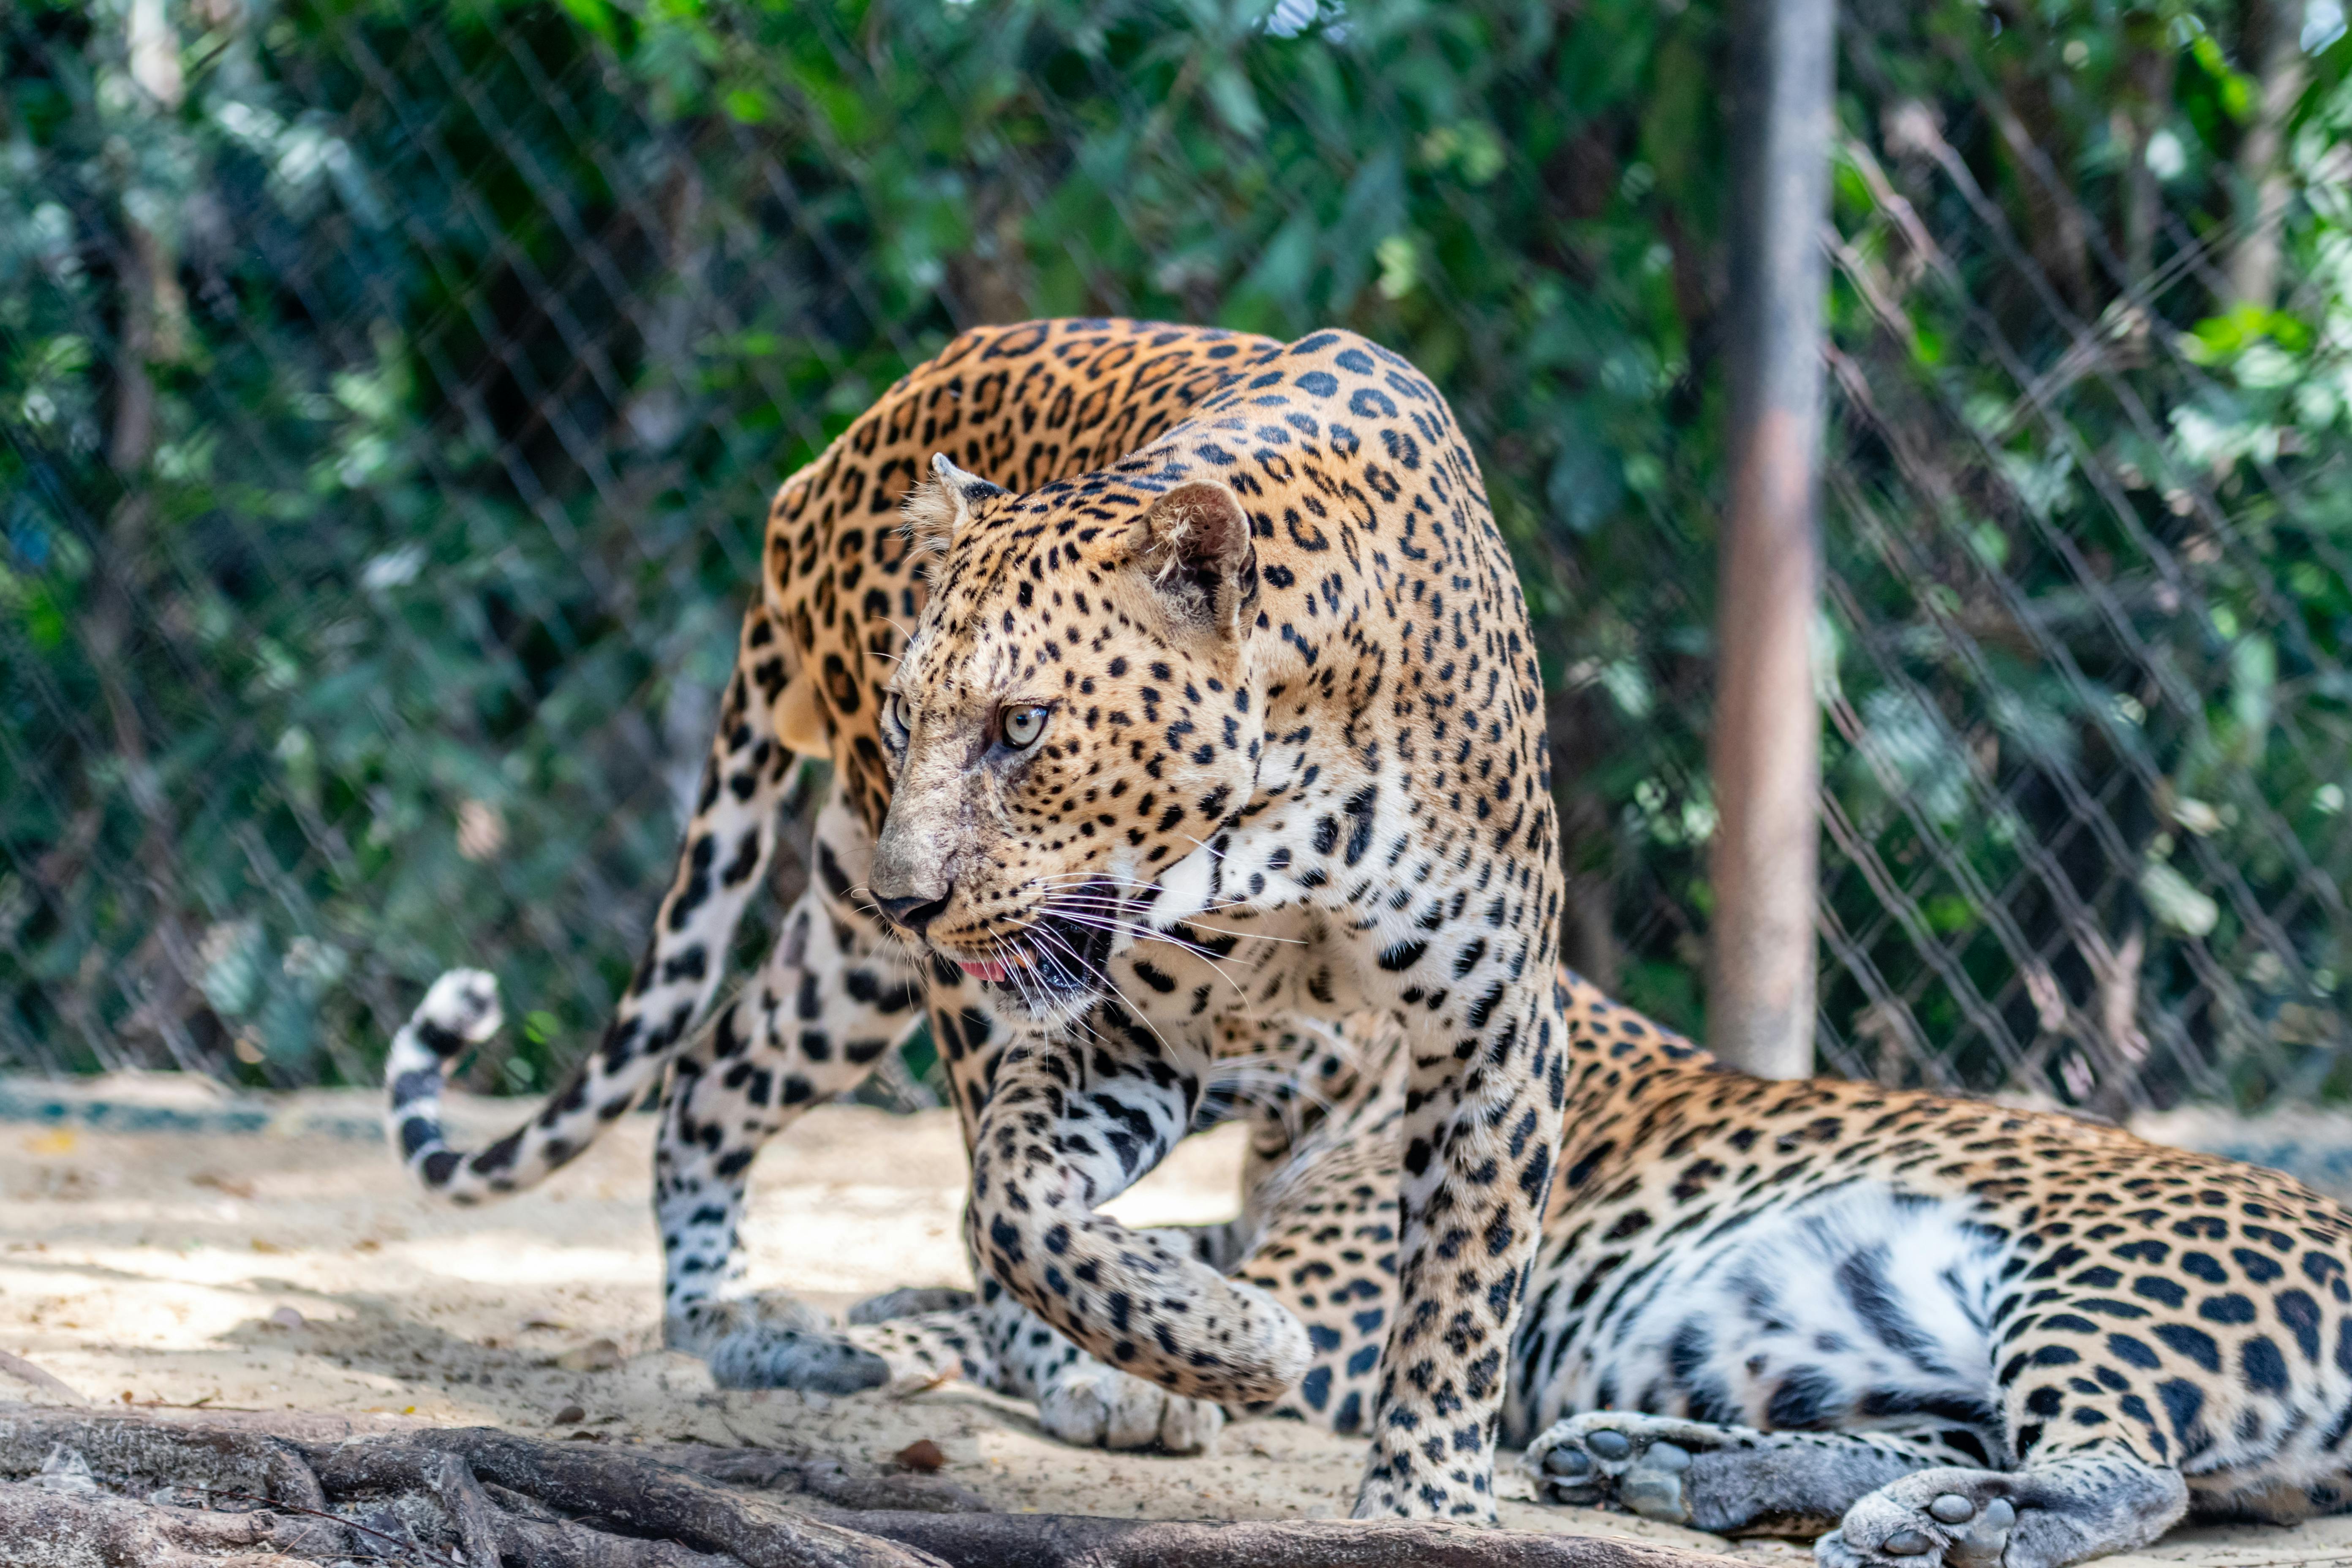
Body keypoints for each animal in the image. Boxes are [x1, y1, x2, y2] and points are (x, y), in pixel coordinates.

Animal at [383, 317, 1572, 1521]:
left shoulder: (1493, 1024)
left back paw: (732, 1321)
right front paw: (1237, 1340)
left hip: (850, 961)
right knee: (902, 1162)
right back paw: (1043, 1372)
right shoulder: (1132, 1032)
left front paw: (1428, 1498)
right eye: (906, 714)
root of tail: (821, 464)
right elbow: (1014, 1203)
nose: (908, 900)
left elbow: (1465, 1277)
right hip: (913, 949)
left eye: (1024, 724)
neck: (1278, 827)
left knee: (715, 1069)